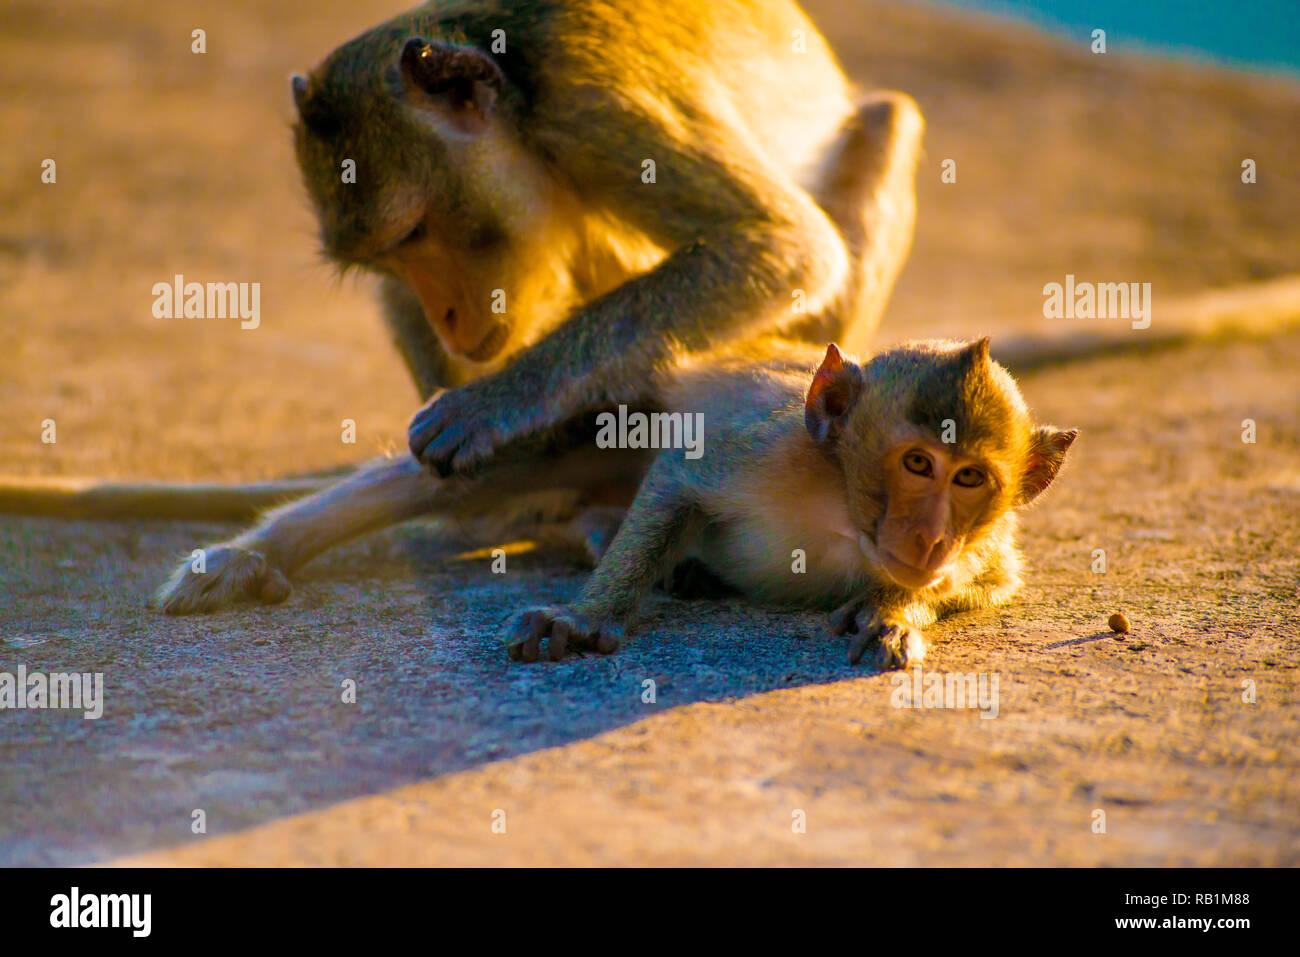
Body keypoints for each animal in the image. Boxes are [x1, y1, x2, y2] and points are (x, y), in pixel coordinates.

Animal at [501, 336, 1077, 668]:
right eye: (918, 464)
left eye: (969, 478)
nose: (932, 536)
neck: (846, 515)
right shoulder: (768, 449)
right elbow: (678, 477)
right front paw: (586, 615)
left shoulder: (987, 539)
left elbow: (995, 579)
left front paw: (890, 610)